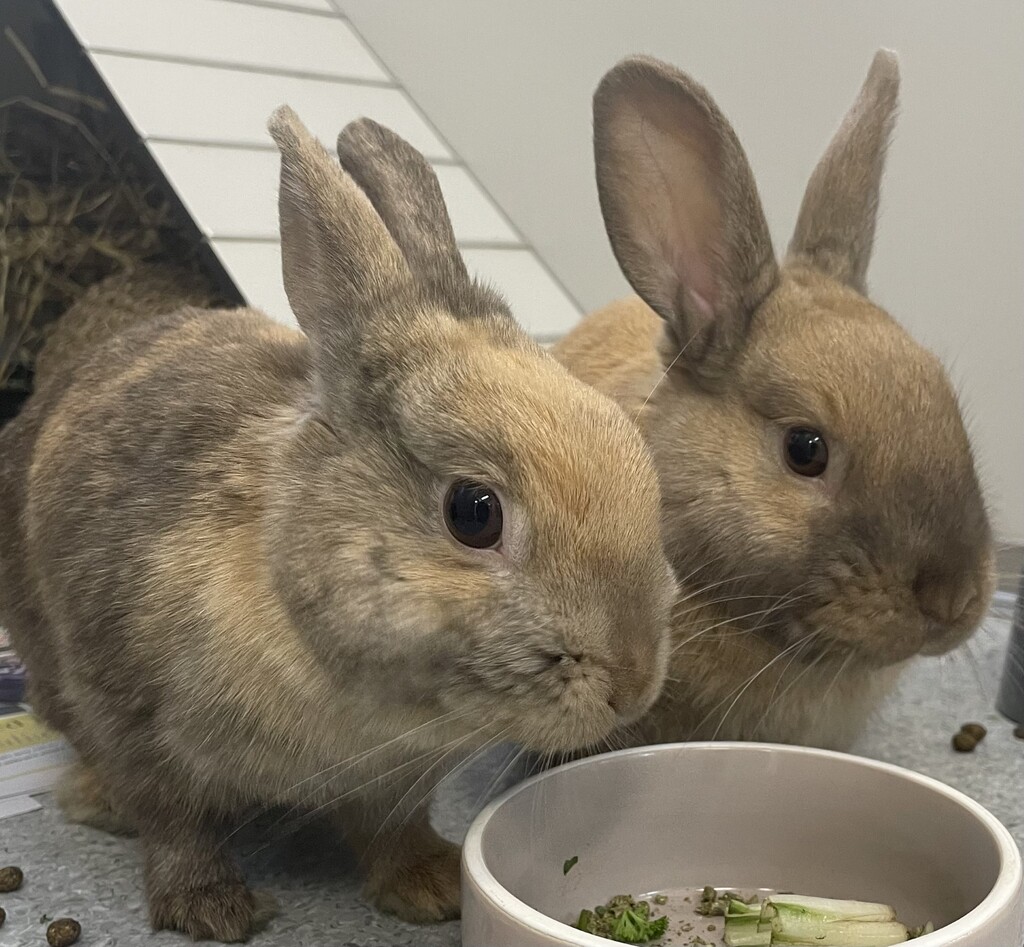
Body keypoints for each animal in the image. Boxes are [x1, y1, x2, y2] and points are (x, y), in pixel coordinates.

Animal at [0, 109, 678, 942]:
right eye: (473, 511)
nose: (634, 683)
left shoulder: (395, 778)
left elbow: (391, 828)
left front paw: (432, 886)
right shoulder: (131, 717)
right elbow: (173, 822)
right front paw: (212, 909)